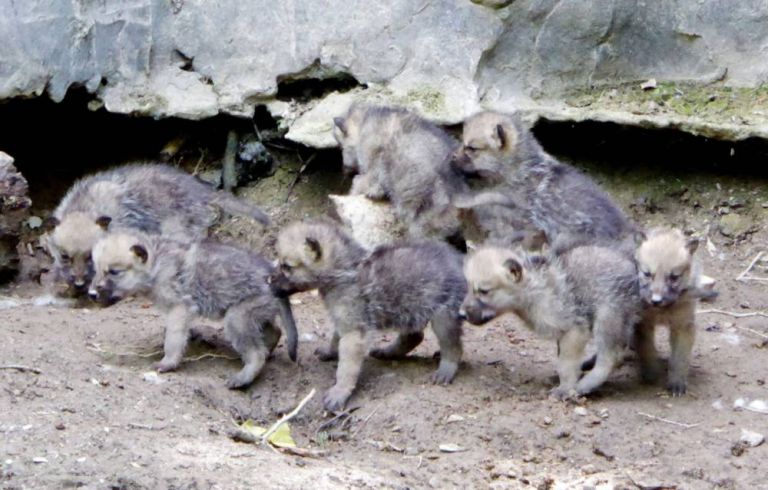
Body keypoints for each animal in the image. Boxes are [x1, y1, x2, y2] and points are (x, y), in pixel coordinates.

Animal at [46, 163, 269, 298]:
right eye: (64, 256)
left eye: (90, 257)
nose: (78, 284)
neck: (86, 208)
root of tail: (201, 192)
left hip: (178, 231)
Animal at [89, 229, 297, 389]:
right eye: (96, 269)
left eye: (114, 272)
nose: (91, 294)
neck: (156, 264)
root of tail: (274, 277)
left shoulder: (179, 309)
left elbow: (173, 340)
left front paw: (168, 363)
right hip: (254, 312)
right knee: (274, 332)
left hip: (237, 318)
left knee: (257, 353)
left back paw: (243, 377)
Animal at [270, 220, 467, 411]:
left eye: (287, 266)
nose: (268, 282)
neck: (341, 273)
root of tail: (463, 262)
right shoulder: (344, 321)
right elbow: (335, 339)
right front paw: (329, 352)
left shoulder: (354, 333)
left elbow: (346, 368)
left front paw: (339, 392)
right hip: (409, 308)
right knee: (414, 337)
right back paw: (388, 352)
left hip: (443, 317)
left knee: (452, 346)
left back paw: (445, 370)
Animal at [332, 104, 467, 245]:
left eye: (341, 145)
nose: (345, 169)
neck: (365, 122)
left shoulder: (372, 166)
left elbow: (362, 183)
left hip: (422, 221)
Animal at [461, 245, 641, 399]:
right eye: (468, 287)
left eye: (484, 291)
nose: (461, 314)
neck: (534, 289)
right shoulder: (562, 334)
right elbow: (561, 361)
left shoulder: (575, 330)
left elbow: (565, 365)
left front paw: (565, 389)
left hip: (608, 318)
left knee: (611, 358)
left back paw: (584, 386)